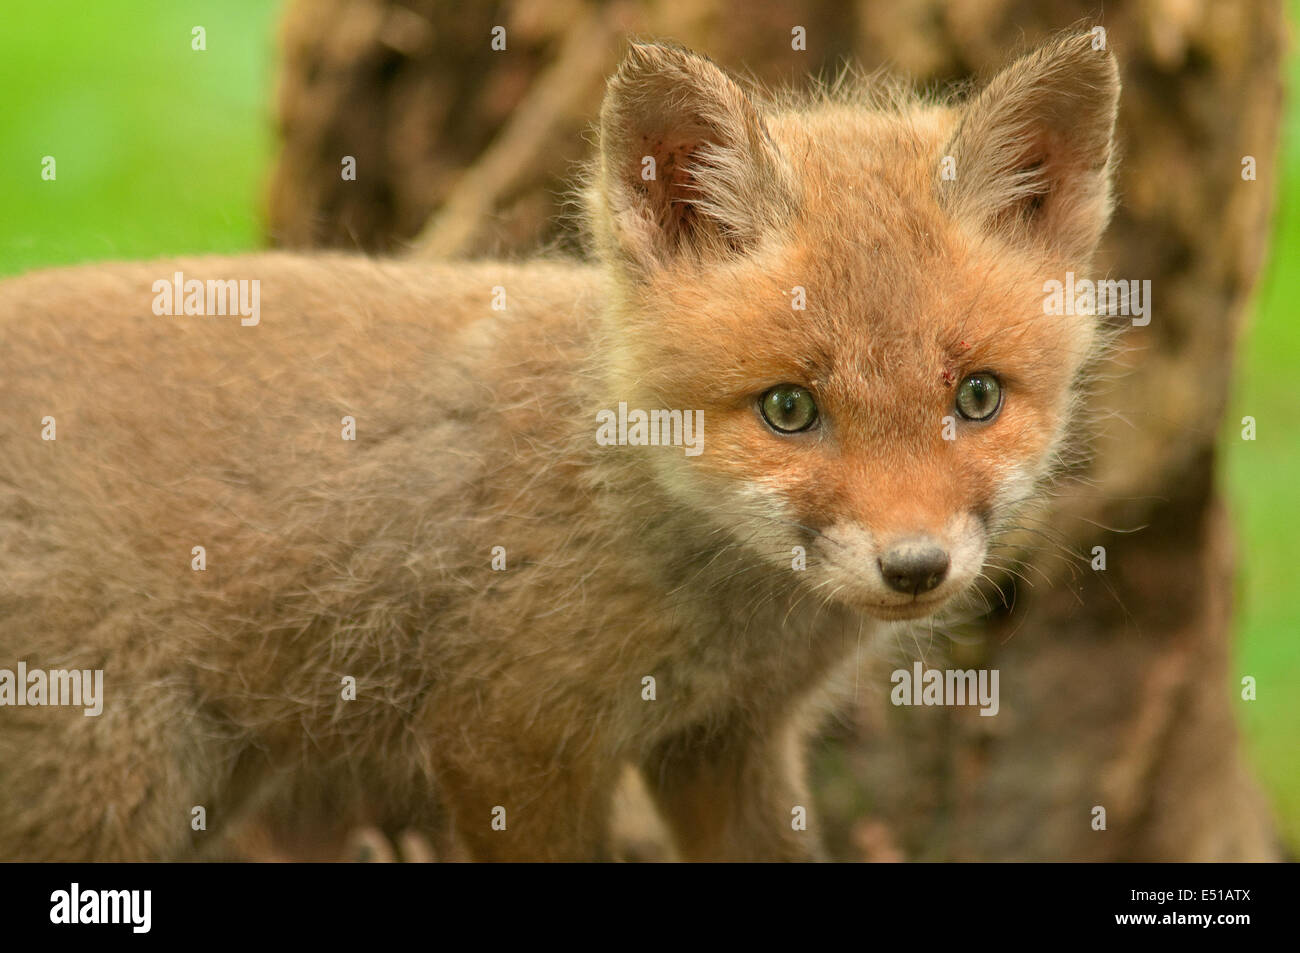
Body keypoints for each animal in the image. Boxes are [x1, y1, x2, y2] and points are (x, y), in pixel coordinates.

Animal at [0, 31, 1119, 861]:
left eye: (977, 396)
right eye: (789, 410)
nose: (916, 567)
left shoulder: (725, 741)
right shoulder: (510, 738)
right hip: (115, 793)